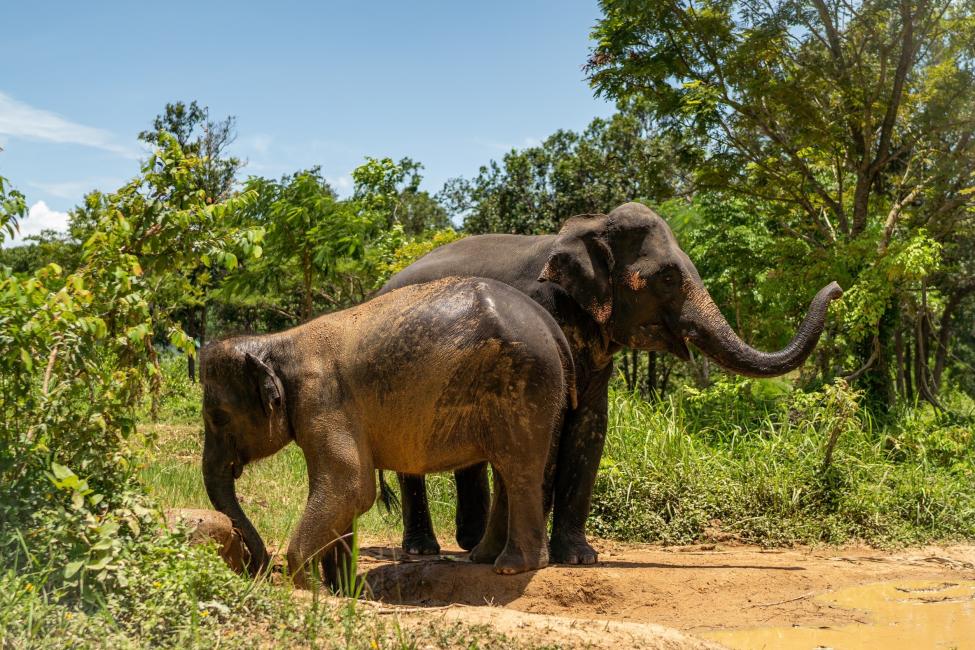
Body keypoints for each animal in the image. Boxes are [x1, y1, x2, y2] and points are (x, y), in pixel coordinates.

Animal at [201, 276, 576, 587]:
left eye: (218, 417)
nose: (261, 569)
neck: (277, 345)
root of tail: (548, 322)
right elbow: (341, 494)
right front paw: (341, 588)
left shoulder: (322, 400)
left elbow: (351, 486)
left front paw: (309, 585)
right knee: (505, 471)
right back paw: (483, 558)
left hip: (522, 385)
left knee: (518, 469)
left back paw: (512, 567)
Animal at [379, 202, 843, 564]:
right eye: (669, 278)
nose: (837, 287)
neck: (588, 227)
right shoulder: (547, 316)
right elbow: (549, 428)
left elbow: (590, 425)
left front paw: (580, 558)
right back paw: (423, 551)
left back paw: (470, 545)